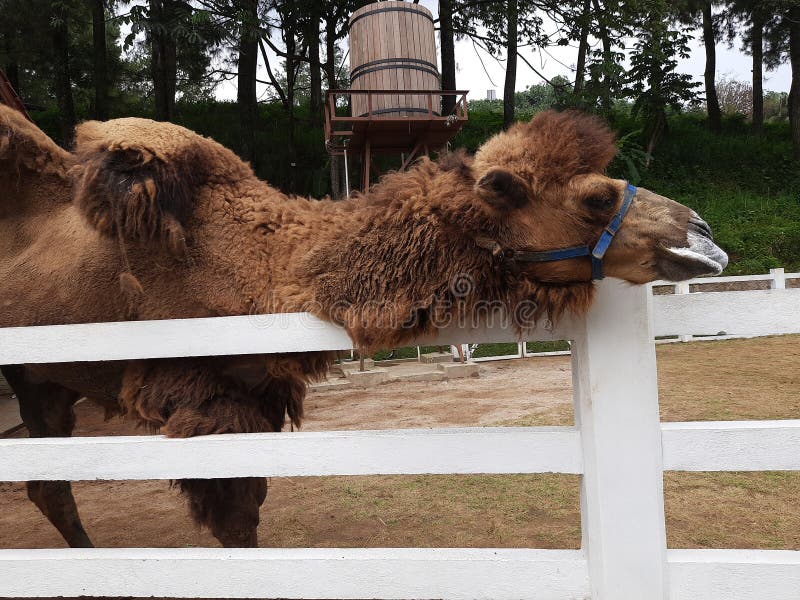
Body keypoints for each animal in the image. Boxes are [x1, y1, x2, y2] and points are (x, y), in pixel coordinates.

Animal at [0, 106, 727, 548]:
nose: (704, 236)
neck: (266, 267)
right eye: (596, 197)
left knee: (48, 484)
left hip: (44, 381)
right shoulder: (205, 399)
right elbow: (237, 523)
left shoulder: (255, 399)